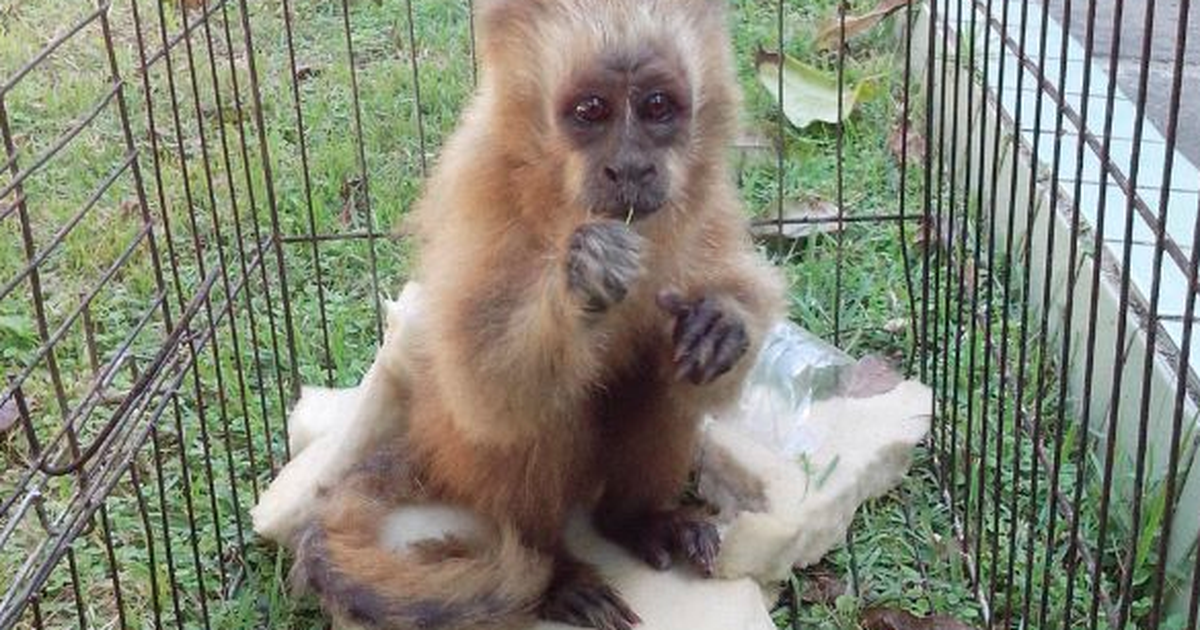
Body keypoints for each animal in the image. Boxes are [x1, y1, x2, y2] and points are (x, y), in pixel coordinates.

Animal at [290, 1, 786, 629]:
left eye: (657, 107)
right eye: (592, 111)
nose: (630, 168)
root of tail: (419, 433)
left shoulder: (708, 191)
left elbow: (720, 316)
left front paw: (725, 320)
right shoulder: (480, 182)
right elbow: (482, 388)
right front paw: (583, 282)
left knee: (662, 373)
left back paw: (632, 519)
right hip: (451, 443)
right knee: (534, 411)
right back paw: (553, 573)